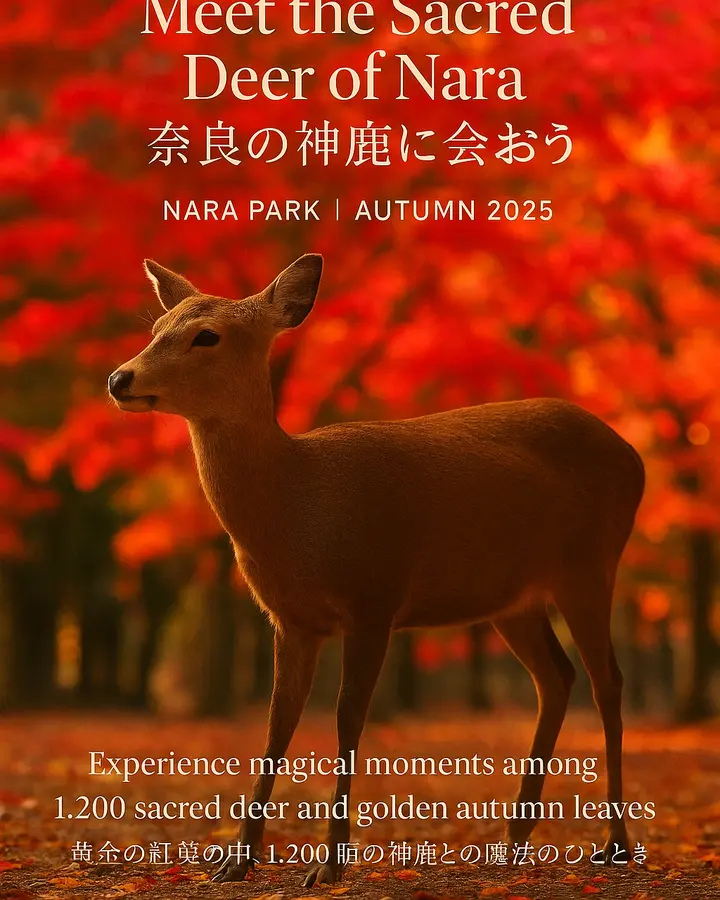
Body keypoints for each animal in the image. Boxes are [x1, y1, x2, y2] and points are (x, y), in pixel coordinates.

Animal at [108, 254, 645, 886]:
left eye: (206, 335)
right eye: (155, 327)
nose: (120, 379)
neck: (299, 505)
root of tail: (633, 456)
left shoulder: (374, 596)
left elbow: (347, 717)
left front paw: (329, 864)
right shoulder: (291, 618)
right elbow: (276, 724)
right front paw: (237, 860)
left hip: (591, 563)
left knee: (608, 680)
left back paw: (615, 841)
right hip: (513, 598)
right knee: (556, 676)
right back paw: (513, 837)